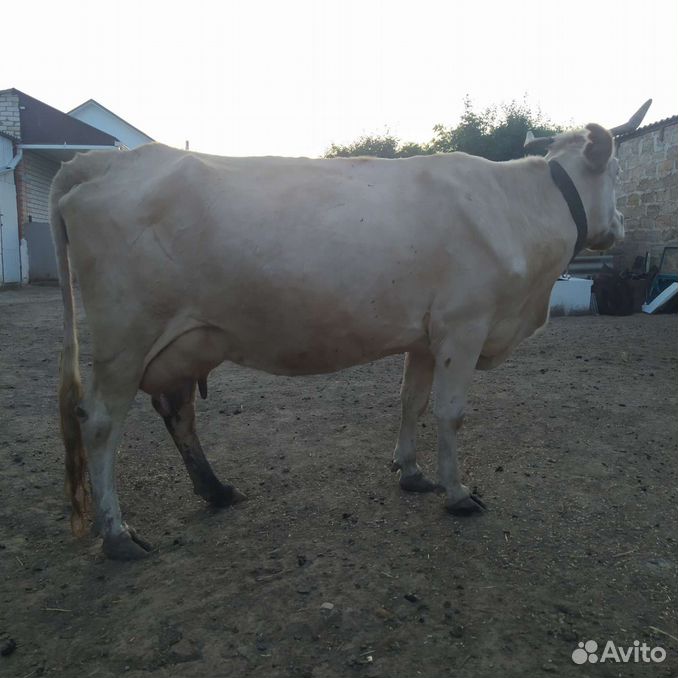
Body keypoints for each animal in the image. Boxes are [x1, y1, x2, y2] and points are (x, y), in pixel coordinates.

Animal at [49, 101, 651, 560]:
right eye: (618, 172)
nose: (623, 226)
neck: (520, 210)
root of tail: (105, 163)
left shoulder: (426, 337)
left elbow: (411, 401)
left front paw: (411, 472)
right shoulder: (464, 326)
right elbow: (449, 413)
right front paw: (457, 491)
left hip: (184, 339)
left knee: (176, 410)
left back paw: (216, 491)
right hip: (125, 338)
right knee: (100, 423)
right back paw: (118, 534)